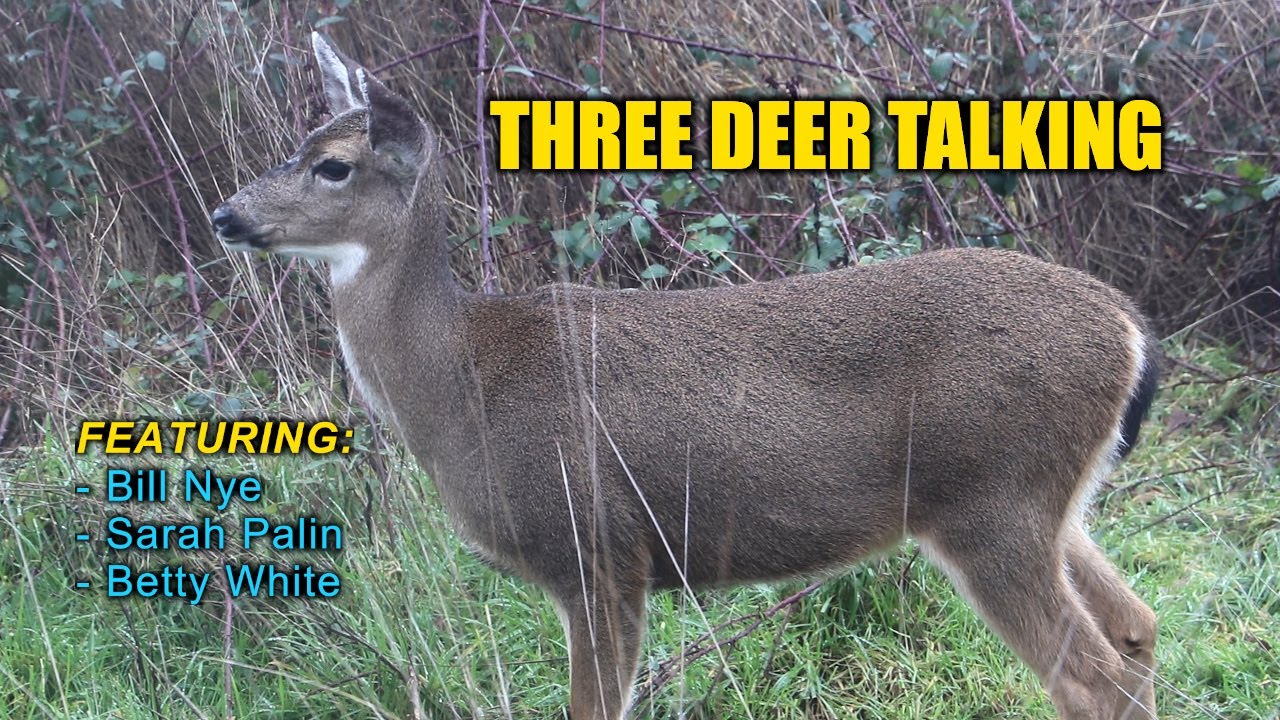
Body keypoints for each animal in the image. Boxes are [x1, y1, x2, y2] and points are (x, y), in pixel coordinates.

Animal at [211, 33, 1162, 720]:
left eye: (333, 163)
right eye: (300, 145)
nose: (226, 214)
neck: (460, 386)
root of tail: (1130, 329)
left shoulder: (596, 548)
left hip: (989, 502)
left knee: (1092, 675)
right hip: (1045, 503)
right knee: (1138, 630)